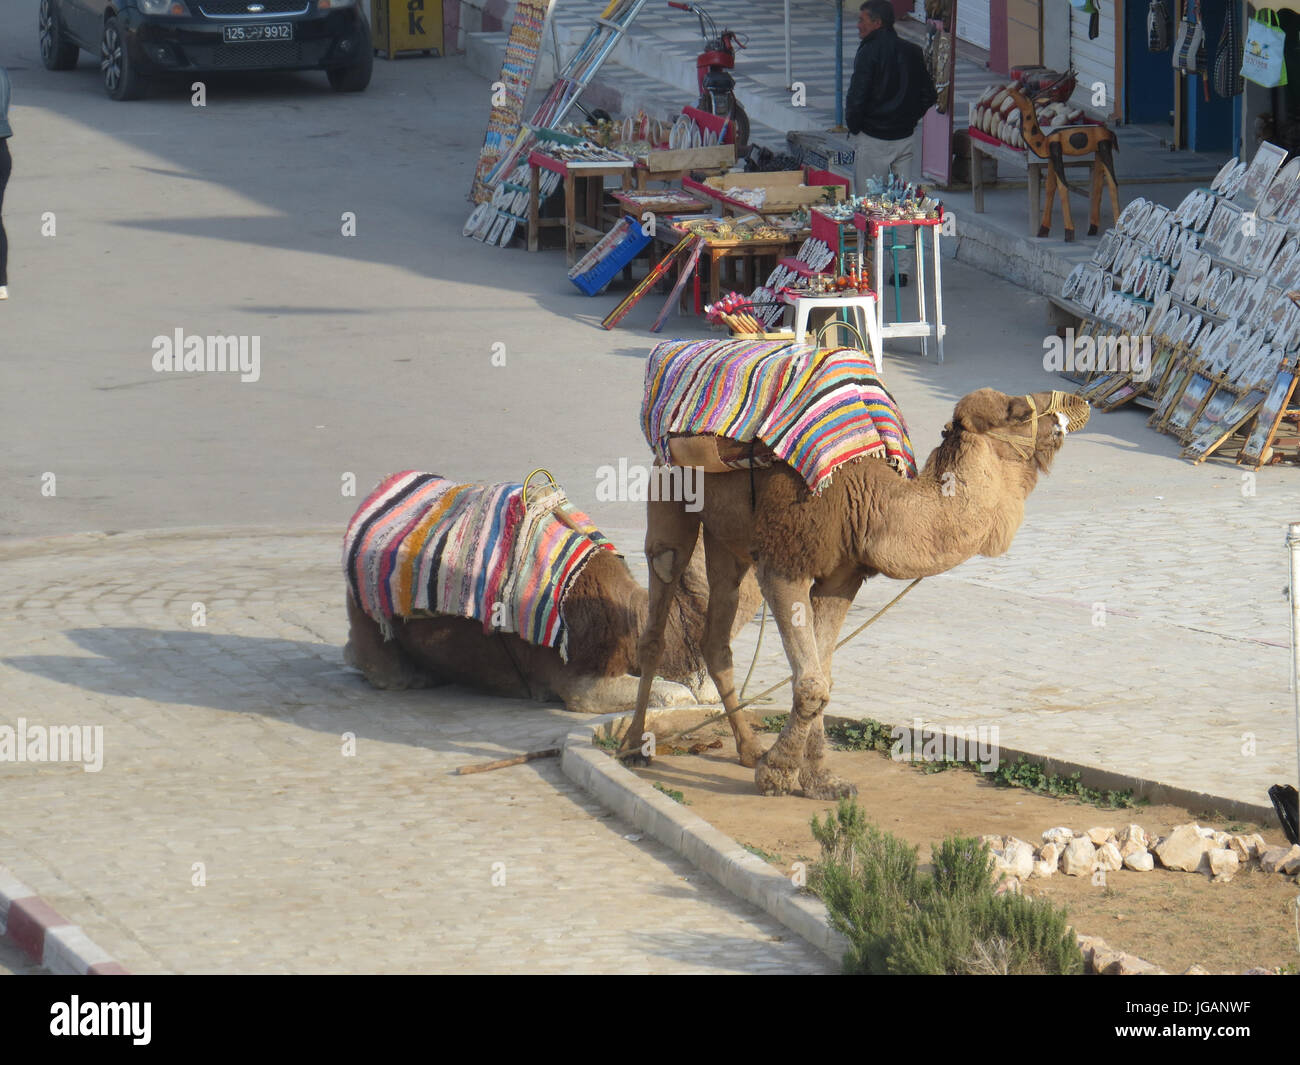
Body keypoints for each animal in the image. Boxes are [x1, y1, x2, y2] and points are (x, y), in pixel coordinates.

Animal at [620, 388, 1089, 798]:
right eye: (1018, 411)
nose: (1077, 401)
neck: (871, 503)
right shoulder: (784, 565)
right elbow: (811, 682)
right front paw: (777, 775)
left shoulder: (841, 578)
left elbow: (823, 675)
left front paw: (819, 781)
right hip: (670, 491)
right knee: (659, 604)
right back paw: (634, 746)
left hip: (728, 540)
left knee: (716, 638)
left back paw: (749, 749)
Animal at [1007, 87, 1119, 242]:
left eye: (1027, 95)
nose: (1010, 91)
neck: (1045, 142)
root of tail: (1111, 133)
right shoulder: (1051, 159)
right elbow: (1050, 188)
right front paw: (1042, 231)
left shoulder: (1056, 153)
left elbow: (1062, 186)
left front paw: (1069, 234)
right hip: (1098, 153)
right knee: (1098, 185)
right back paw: (1092, 230)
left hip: (1105, 149)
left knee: (1113, 183)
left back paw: (1118, 226)